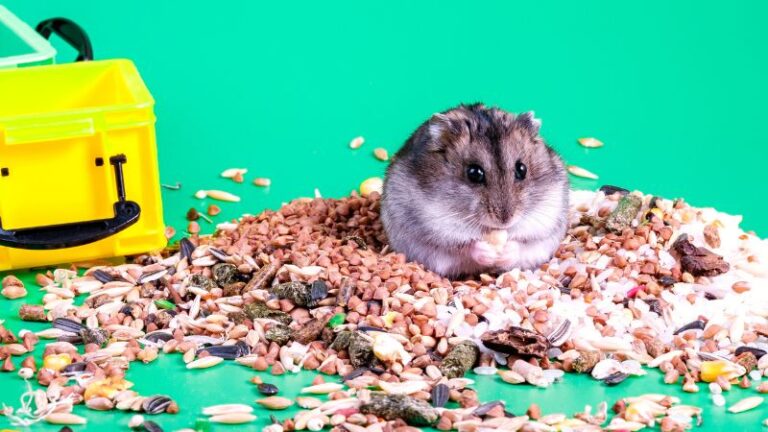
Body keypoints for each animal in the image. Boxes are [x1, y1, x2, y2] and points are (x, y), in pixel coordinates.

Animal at [381, 103, 569, 278]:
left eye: (522, 169)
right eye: (474, 173)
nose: (505, 220)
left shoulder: (546, 219)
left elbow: (523, 244)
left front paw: (505, 252)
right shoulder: (435, 227)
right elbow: (465, 246)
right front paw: (487, 252)